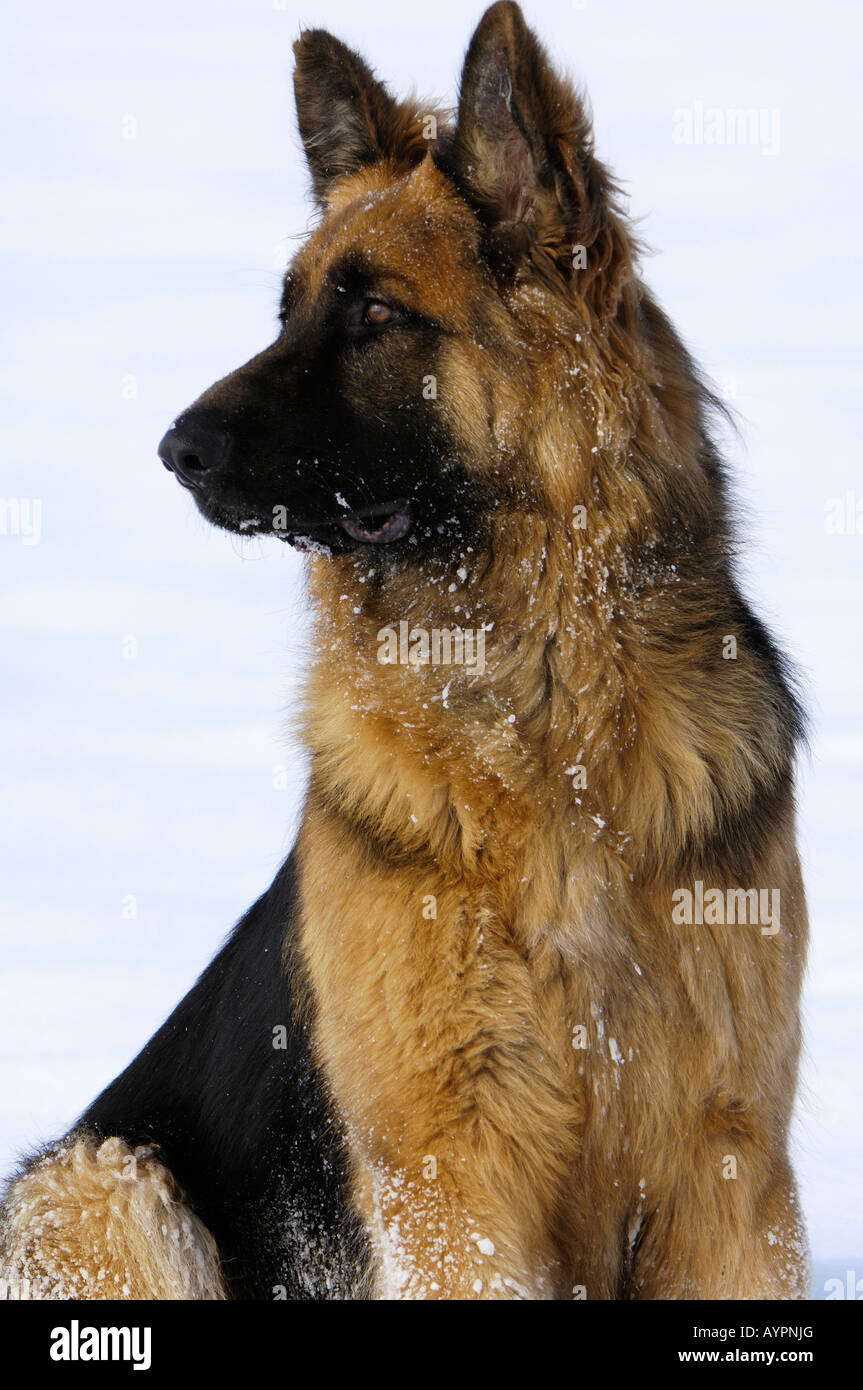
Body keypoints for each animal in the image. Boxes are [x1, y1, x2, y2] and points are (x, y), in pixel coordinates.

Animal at [1, 5, 806, 1295]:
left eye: (375, 313)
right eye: (284, 311)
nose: (173, 449)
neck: (546, 729)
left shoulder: (723, 1174)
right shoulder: (450, 1176)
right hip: (107, 1183)